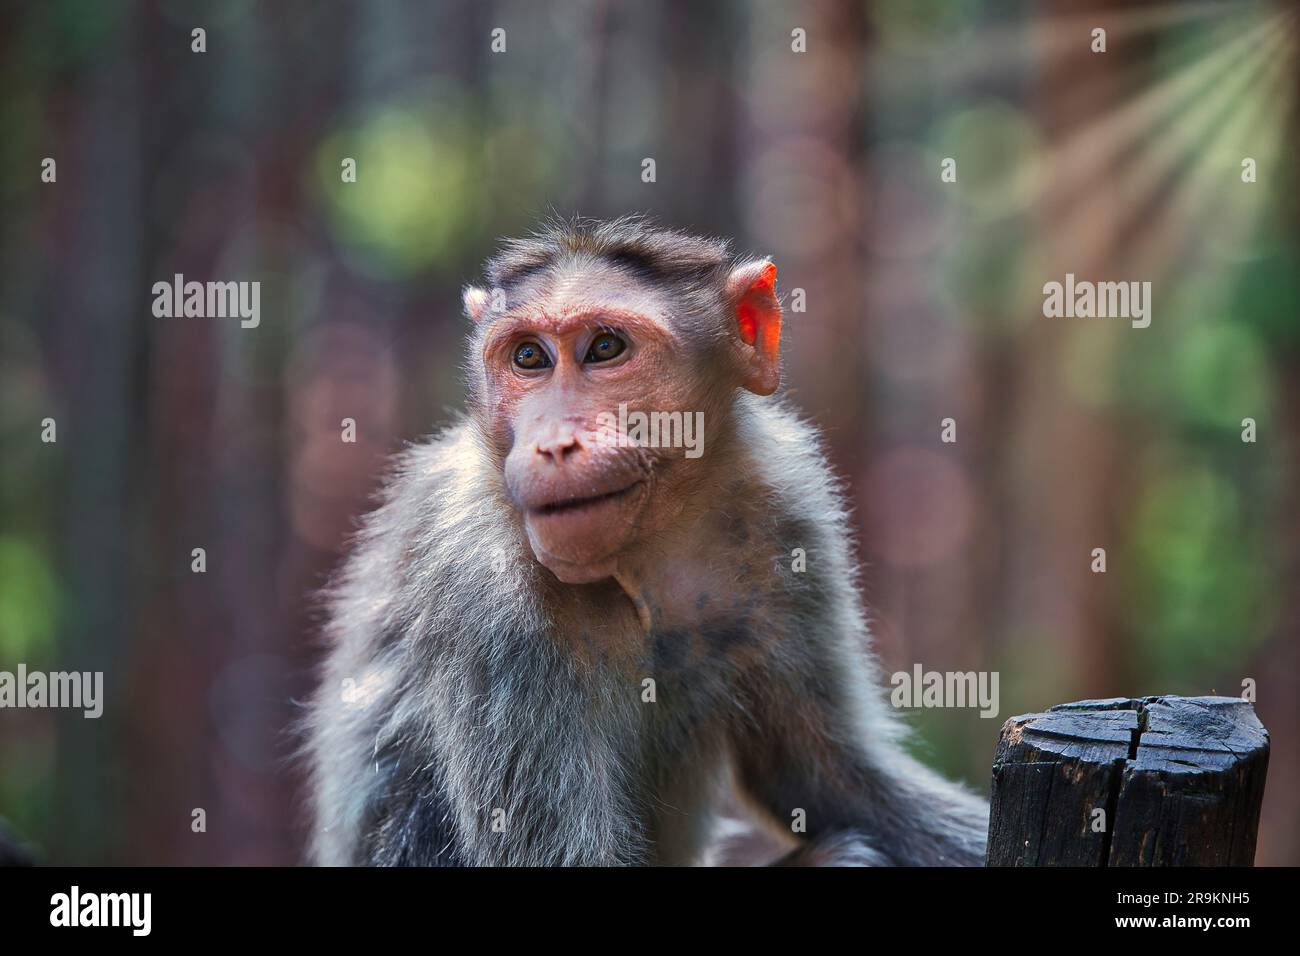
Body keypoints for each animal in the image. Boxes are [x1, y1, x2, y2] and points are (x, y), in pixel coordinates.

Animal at [303, 216, 989, 866]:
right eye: (528, 358)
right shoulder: (481, 585)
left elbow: (823, 782)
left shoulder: (791, 513)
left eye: (605, 347)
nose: (553, 443)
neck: (645, 546)